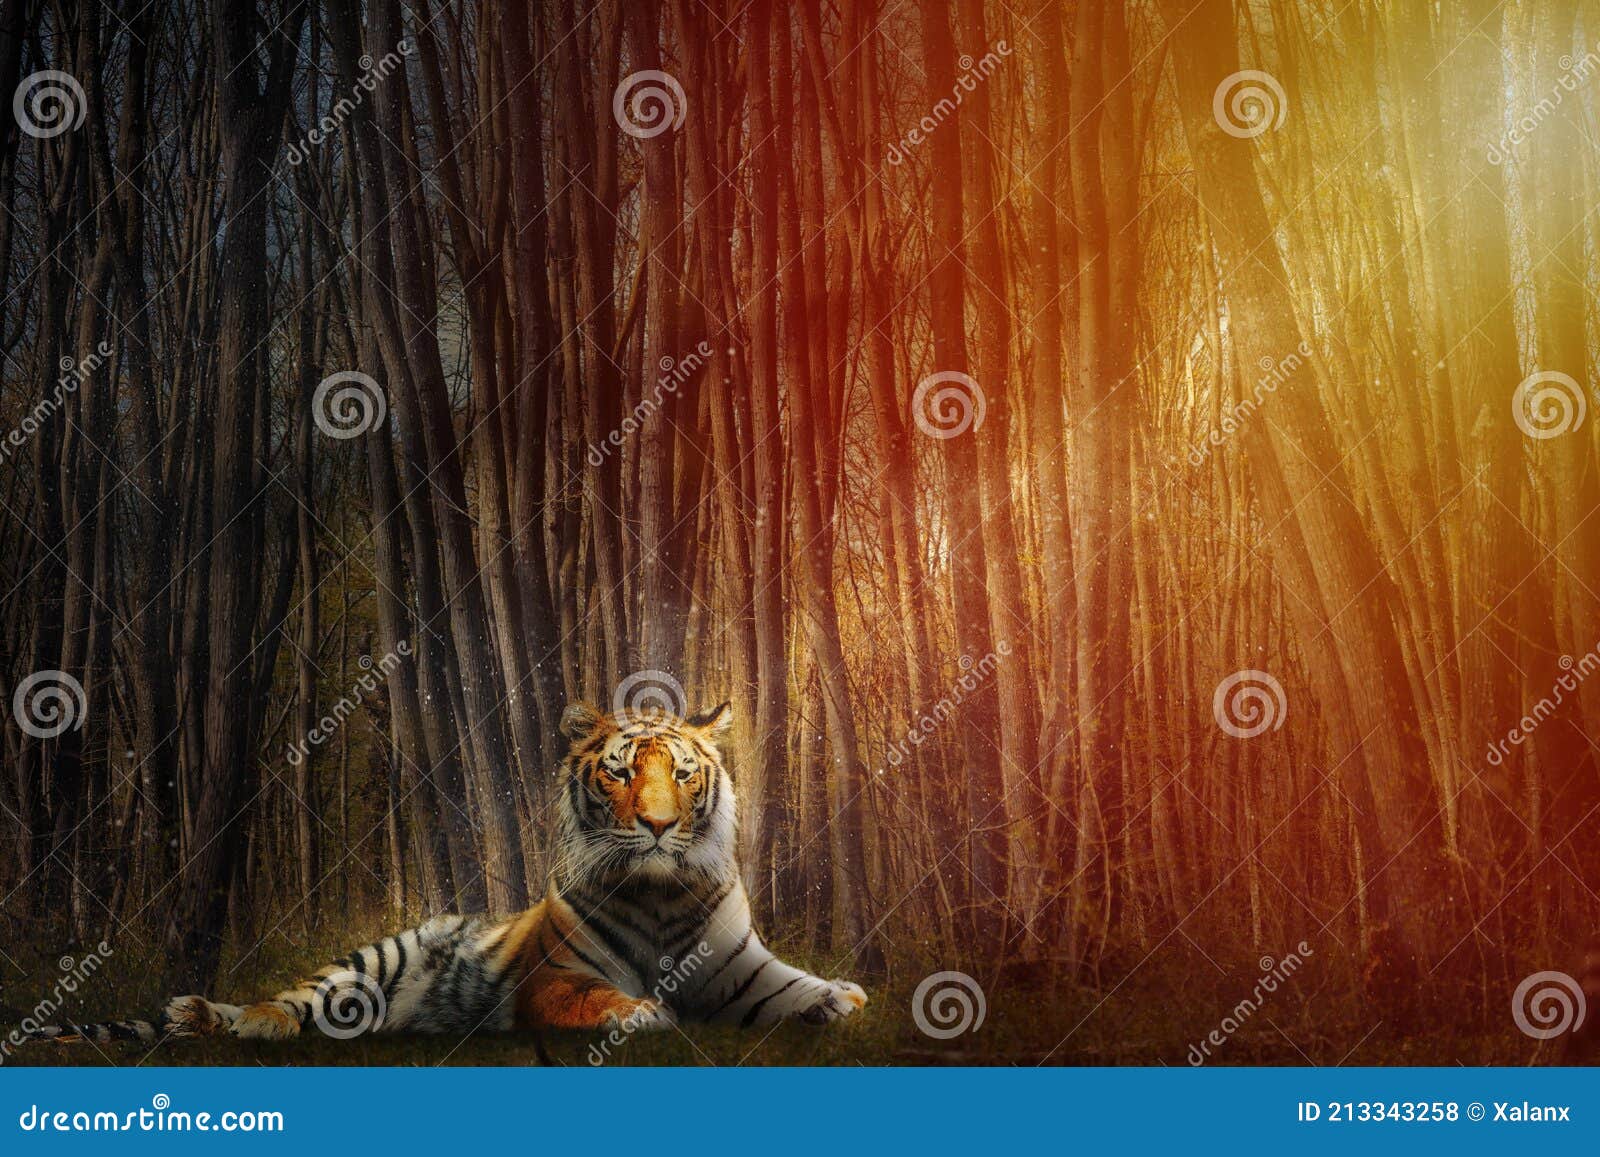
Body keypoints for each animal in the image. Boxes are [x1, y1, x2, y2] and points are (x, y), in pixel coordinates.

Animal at [18, 701, 866, 1051]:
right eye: (622, 771)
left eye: (684, 773)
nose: (658, 824)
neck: (660, 892)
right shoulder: (551, 980)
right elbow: (598, 998)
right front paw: (641, 1013)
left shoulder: (739, 966)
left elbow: (792, 987)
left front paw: (841, 997)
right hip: (361, 967)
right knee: (286, 1000)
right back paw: (241, 1019)